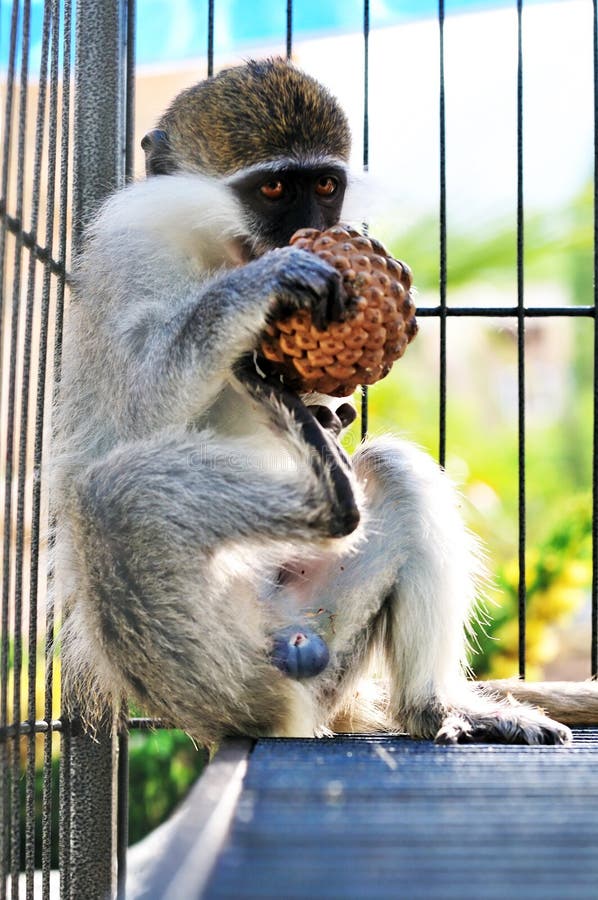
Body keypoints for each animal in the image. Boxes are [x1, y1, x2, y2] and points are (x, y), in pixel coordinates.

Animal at [53, 57, 597, 749]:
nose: (307, 231)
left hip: (326, 643)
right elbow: (136, 406)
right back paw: (325, 487)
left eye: (325, 185)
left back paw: (435, 706)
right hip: (189, 669)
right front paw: (262, 285)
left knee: (392, 470)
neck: (216, 252)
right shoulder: (129, 257)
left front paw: (322, 405)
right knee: (112, 497)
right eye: (274, 189)